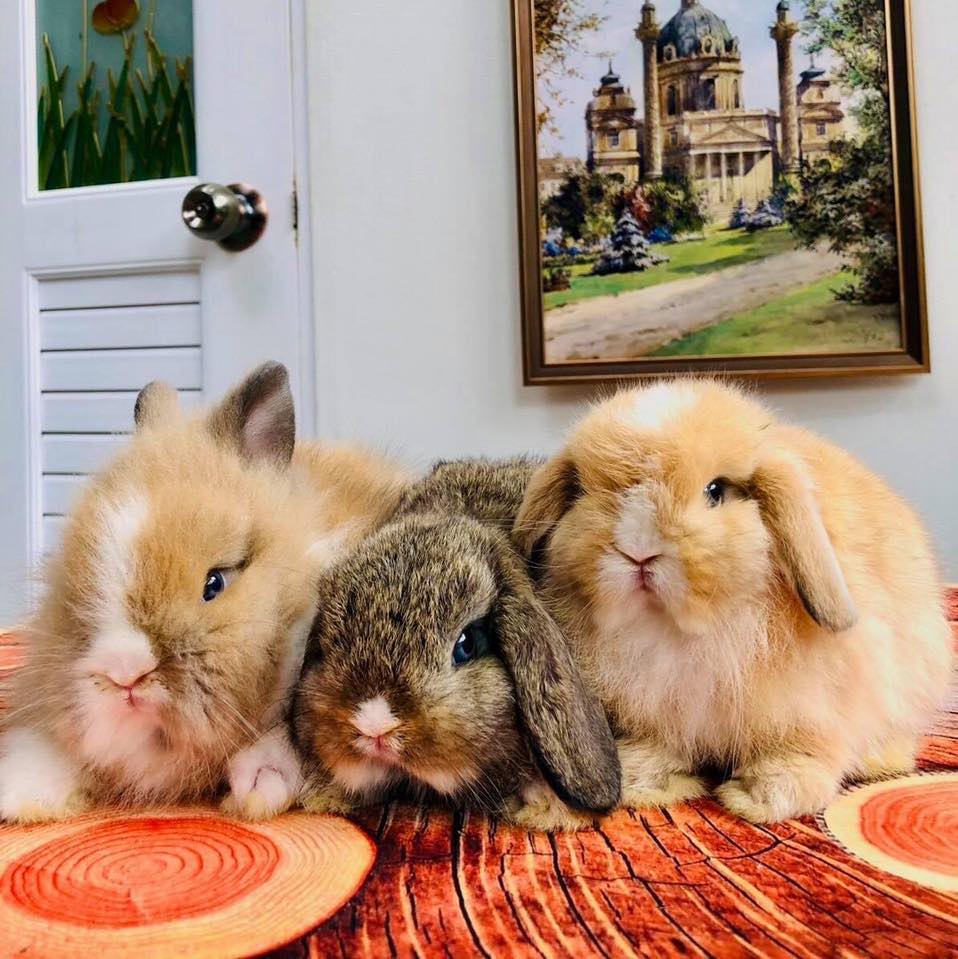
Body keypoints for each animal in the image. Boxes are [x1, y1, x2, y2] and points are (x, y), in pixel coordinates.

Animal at [513, 380, 955, 823]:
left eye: (716, 491)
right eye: (583, 492)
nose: (638, 550)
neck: (671, 629)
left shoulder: (815, 712)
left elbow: (802, 753)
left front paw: (759, 798)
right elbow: (662, 745)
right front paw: (641, 778)